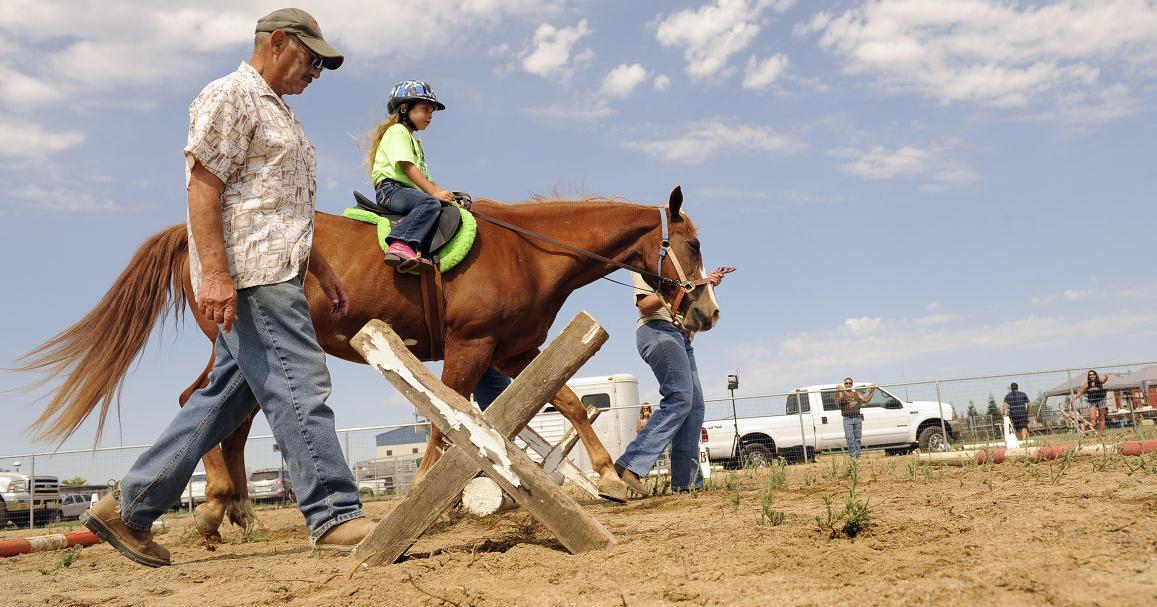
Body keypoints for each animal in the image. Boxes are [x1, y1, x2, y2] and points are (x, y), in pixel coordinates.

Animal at [16, 186, 720, 541]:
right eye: (691, 243)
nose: (707, 311)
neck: (526, 250)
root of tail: (198, 236)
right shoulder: (470, 346)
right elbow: (445, 417)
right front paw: (434, 493)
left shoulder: (515, 350)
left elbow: (570, 403)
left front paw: (611, 477)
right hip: (240, 342)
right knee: (205, 406)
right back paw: (218, 508)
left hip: (244, 351)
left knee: (226, 415)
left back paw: (228, 511)